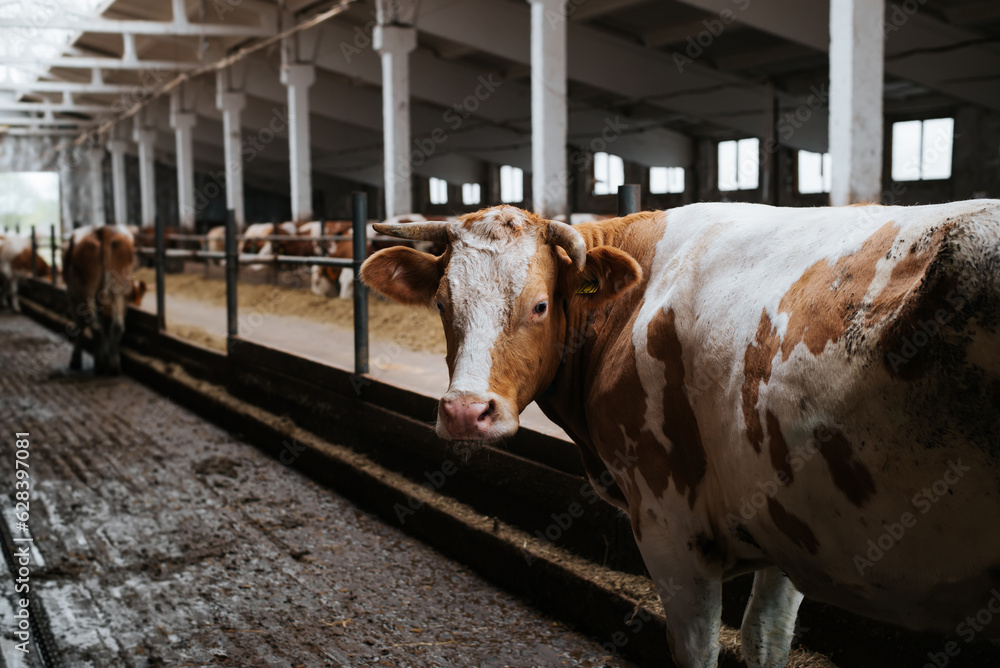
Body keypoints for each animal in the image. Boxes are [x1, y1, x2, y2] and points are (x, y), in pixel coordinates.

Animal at [63, 225, 146, 375]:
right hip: (119, 290)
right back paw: (113, 365)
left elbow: (79, 326)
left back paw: (100, 363)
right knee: (116, 325)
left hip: (87, 291)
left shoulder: (72, 296)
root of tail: (103, 229)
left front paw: (76, 359)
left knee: (95, 326)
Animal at [361, 202, 1000, 668]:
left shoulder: (670, 525)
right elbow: (765, 637)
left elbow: (698, 648)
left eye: (539, 305)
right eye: (442, 302)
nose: (466, 412)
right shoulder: (788, 518)